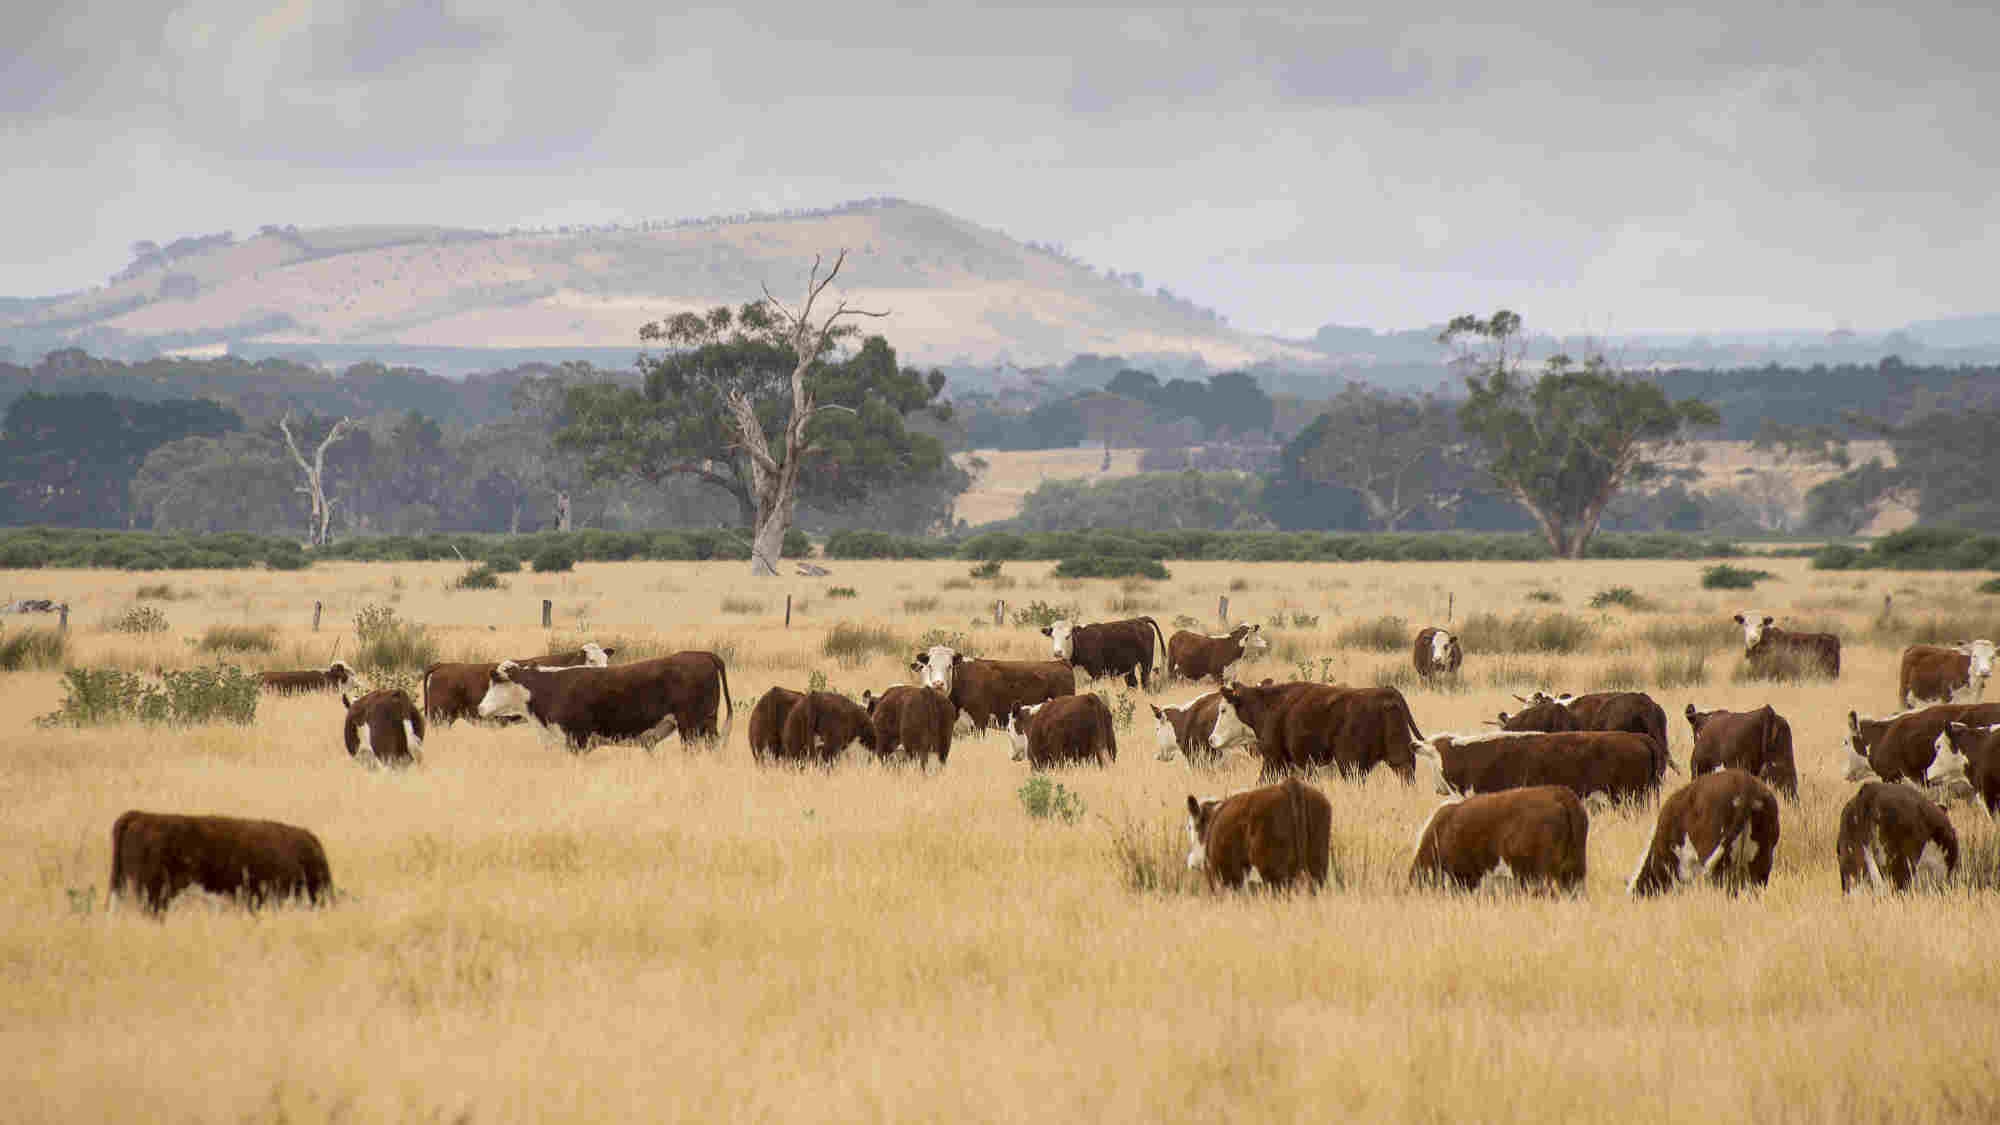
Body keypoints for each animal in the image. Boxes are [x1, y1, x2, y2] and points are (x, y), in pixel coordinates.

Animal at [475, 651, 733, 752]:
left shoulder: (576, 739)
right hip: (706, 725)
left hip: (691, 728)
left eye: (496, 682)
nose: (480, 708)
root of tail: (702, 654)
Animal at [1219, 680, 1426, 783]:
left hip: (1350, 765)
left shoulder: (1274, 759)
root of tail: (1387, 694)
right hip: (1400, 757)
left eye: (1223, 710)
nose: (1213, 739)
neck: (1268, 705)